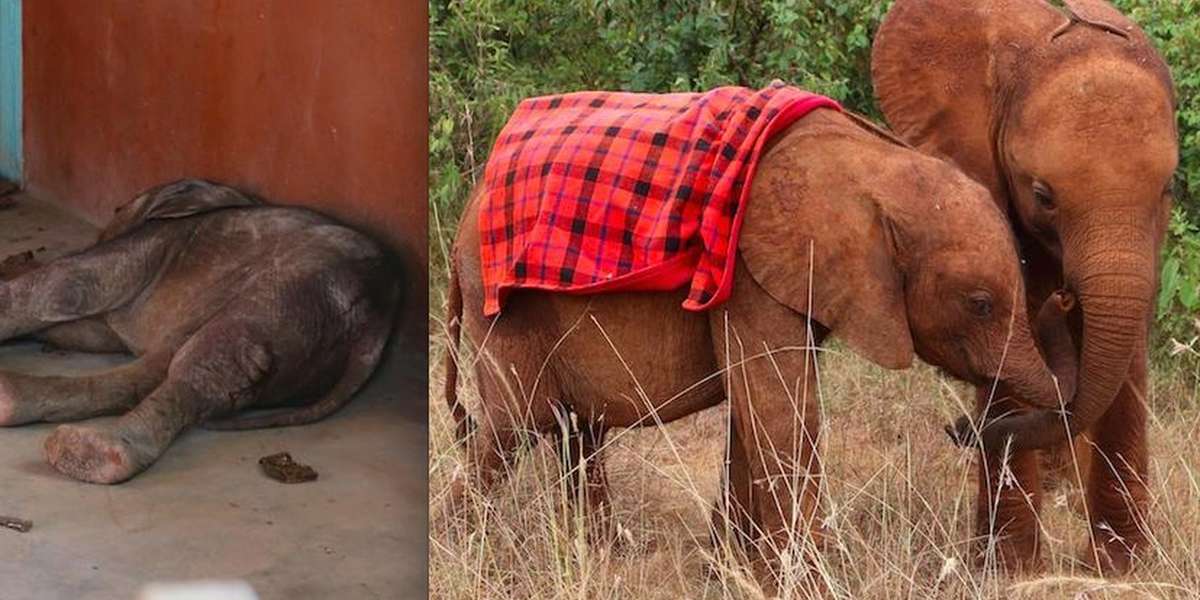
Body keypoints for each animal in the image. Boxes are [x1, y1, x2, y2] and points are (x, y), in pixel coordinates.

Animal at [0, 179, 398, 484]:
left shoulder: (156, 243)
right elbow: (81, 330)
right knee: (168, 364)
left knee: (207, 355)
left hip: (295, 288)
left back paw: (88, 454)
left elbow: (66, 286)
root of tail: (374, 329)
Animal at [441, 106, 1073, 588]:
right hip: (507, 306)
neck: (877, 164)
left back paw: (604, 557)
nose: (958, 425)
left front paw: (732, 575)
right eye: (981, 304)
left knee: (574, 432)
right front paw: (813, 582)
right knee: (513, 427)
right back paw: (466, 555)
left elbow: (757, 415)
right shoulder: (748, 273)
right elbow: (782, 414)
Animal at [872, 0, 1179, 573]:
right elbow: (1010, 327)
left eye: (1168, 187)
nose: (958, 430)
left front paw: (1117, 566)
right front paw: (1010, 567)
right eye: (1042, 195)